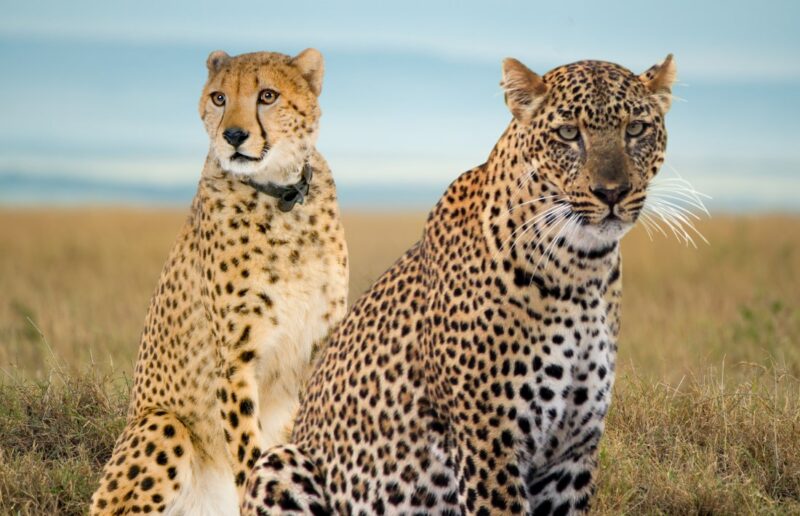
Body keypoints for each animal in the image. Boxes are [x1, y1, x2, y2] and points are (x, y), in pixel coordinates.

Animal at [90, 48, 349, 515]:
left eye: (268, 95)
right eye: (219, 98)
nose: (233, 135)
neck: (282, 200)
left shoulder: (320, 346)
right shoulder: (234, 359)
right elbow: (248, 451)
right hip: (163, 424)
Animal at [241, 54, 677, 515]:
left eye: (636, 129)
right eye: (568, 133)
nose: (612, 192)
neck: (580, 270)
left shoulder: (573, 451)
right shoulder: (489, 440)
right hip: (280, 460)